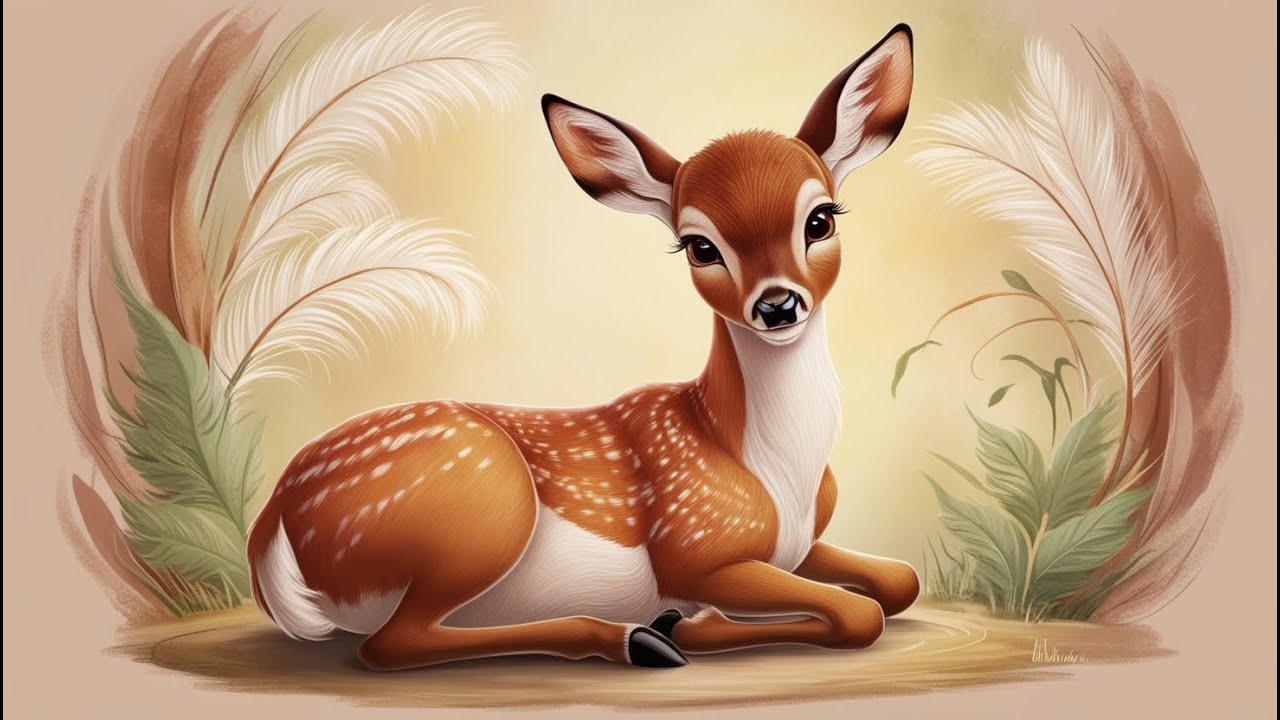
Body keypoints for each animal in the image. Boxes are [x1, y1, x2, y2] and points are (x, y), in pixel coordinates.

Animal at [247, 24, 919, 671]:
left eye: (821, 219)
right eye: (698, 245)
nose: (777, 305)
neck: (772, 469)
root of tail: (271, 522)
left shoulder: (801, 546)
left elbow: (900, 580)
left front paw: (690, 622)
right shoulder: (692, 550)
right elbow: (860, 614)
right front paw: (687, 623)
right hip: (485, 504)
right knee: (390, 644)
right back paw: (637, 640)